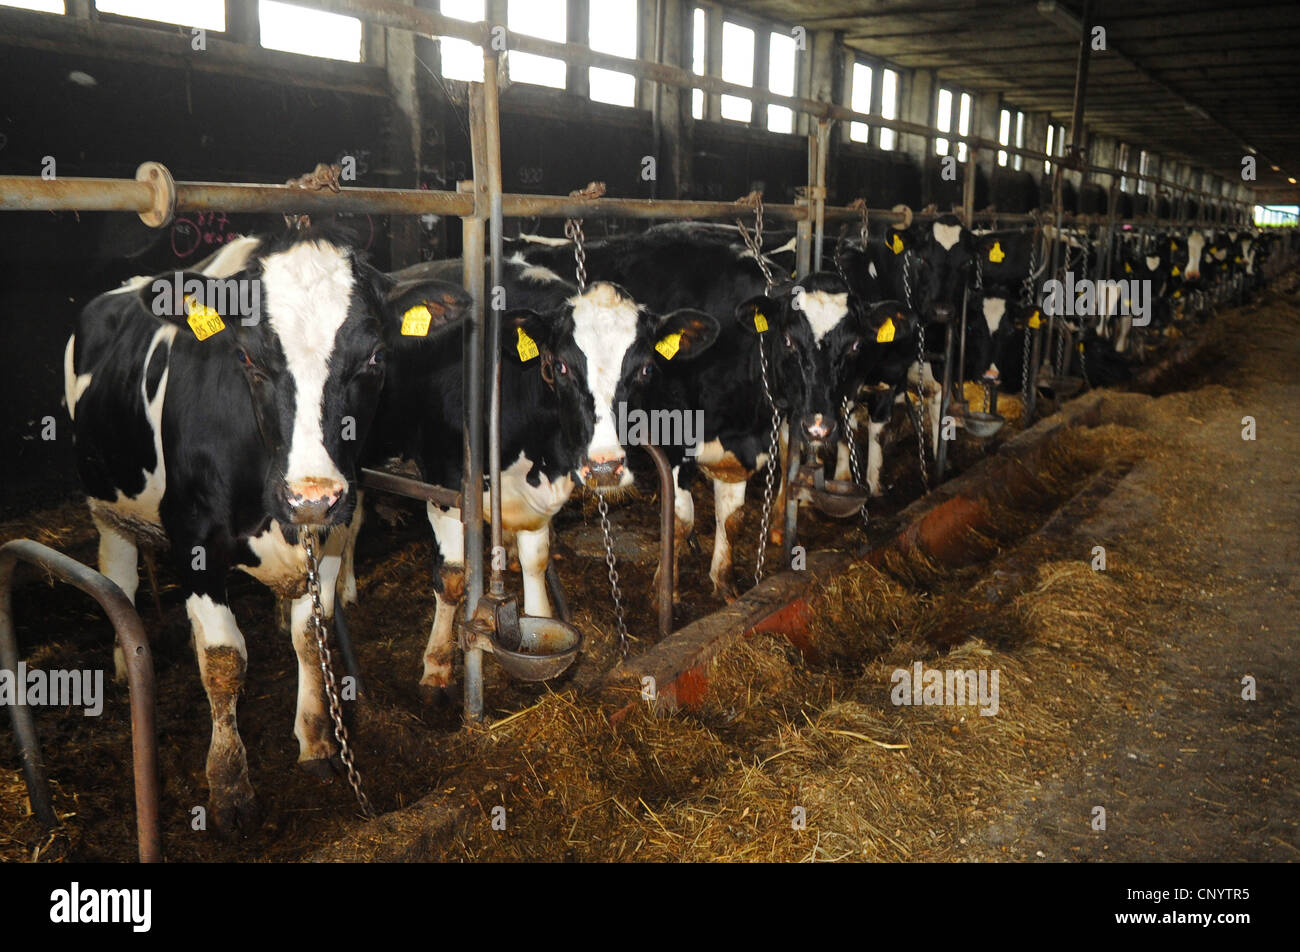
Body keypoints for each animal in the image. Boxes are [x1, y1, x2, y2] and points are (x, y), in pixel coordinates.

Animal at [63, 225, 469, 832]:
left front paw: (316, 742)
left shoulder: (329, 535)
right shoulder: (195, 541)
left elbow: (310, 637)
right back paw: (119, 658)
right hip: (103, 502)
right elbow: (223, 659)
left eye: (375, 356)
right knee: (119, 576)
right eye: (246, 356)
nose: (310, 497)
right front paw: (230, 785)